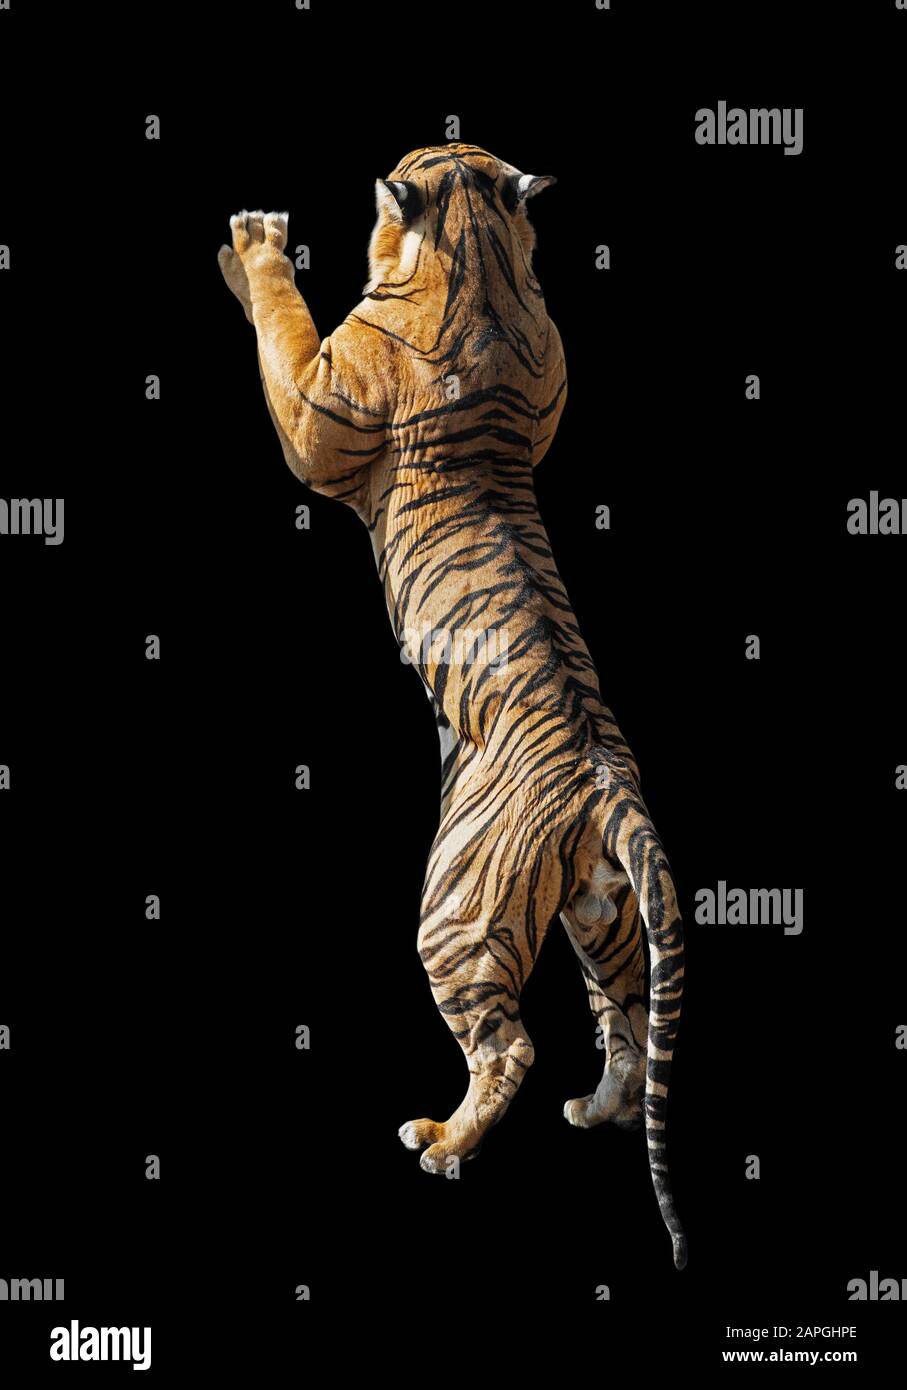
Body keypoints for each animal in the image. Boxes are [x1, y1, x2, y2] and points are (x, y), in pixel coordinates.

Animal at [218, 142, 687, 1269]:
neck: (477, 261)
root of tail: (608, 785)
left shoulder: (318, 402)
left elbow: (285, 329)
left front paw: (255, 243)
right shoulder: (549, 360)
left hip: (455, 912)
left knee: (509, 1044)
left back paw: (439, 1143)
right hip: (601, 910)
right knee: (624, 1012)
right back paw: (597, 1111)